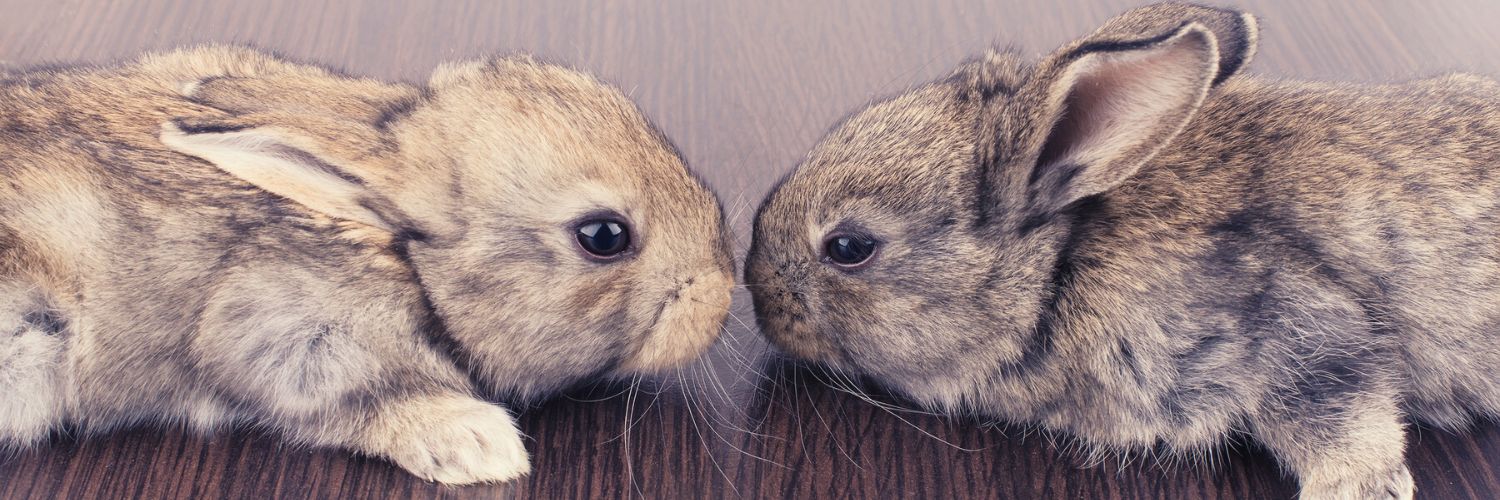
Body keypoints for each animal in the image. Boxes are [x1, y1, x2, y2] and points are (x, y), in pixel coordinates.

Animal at [0, 45, 734, 484]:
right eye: (604, 236)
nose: (722, 298)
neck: (405, 259)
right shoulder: (275, 330)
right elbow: (358, 399)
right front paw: (480, 445)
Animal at [746, 3, 1500, 499]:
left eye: (849, 247)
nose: (756, 289)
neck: (1055, 271)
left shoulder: (1295, 322)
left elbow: (1340, 410)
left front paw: (1357, 487)